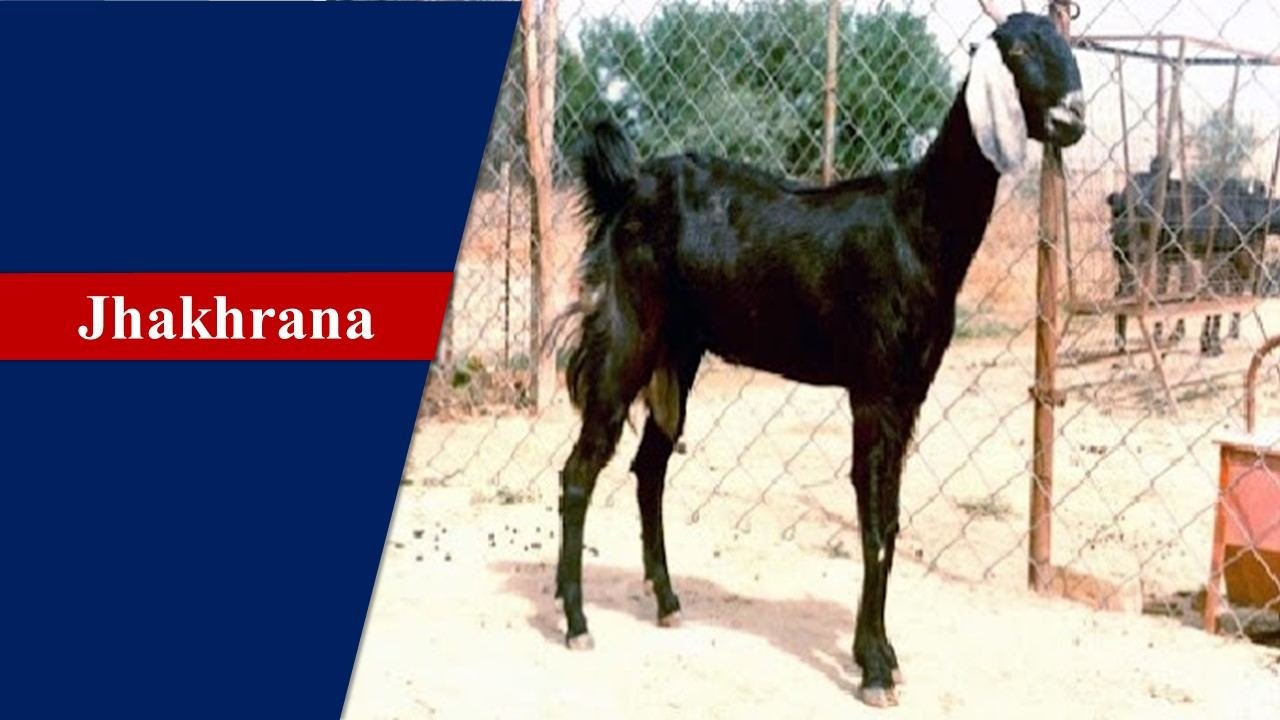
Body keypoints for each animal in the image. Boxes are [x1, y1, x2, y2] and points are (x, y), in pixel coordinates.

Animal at [551, 9, 1084, 708]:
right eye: (1019, 50)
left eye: (1067, 46)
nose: (1074, 117)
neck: (919, 225)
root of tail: (627, 185)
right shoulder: (874, 390)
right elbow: (875, 526)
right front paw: (875, 668)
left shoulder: (909, 394)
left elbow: (890, 519)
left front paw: (882, 654)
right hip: (626, 335)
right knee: (579, 471)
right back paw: (577, 622)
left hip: (680, 351)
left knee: (649, 467)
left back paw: (665, 602)